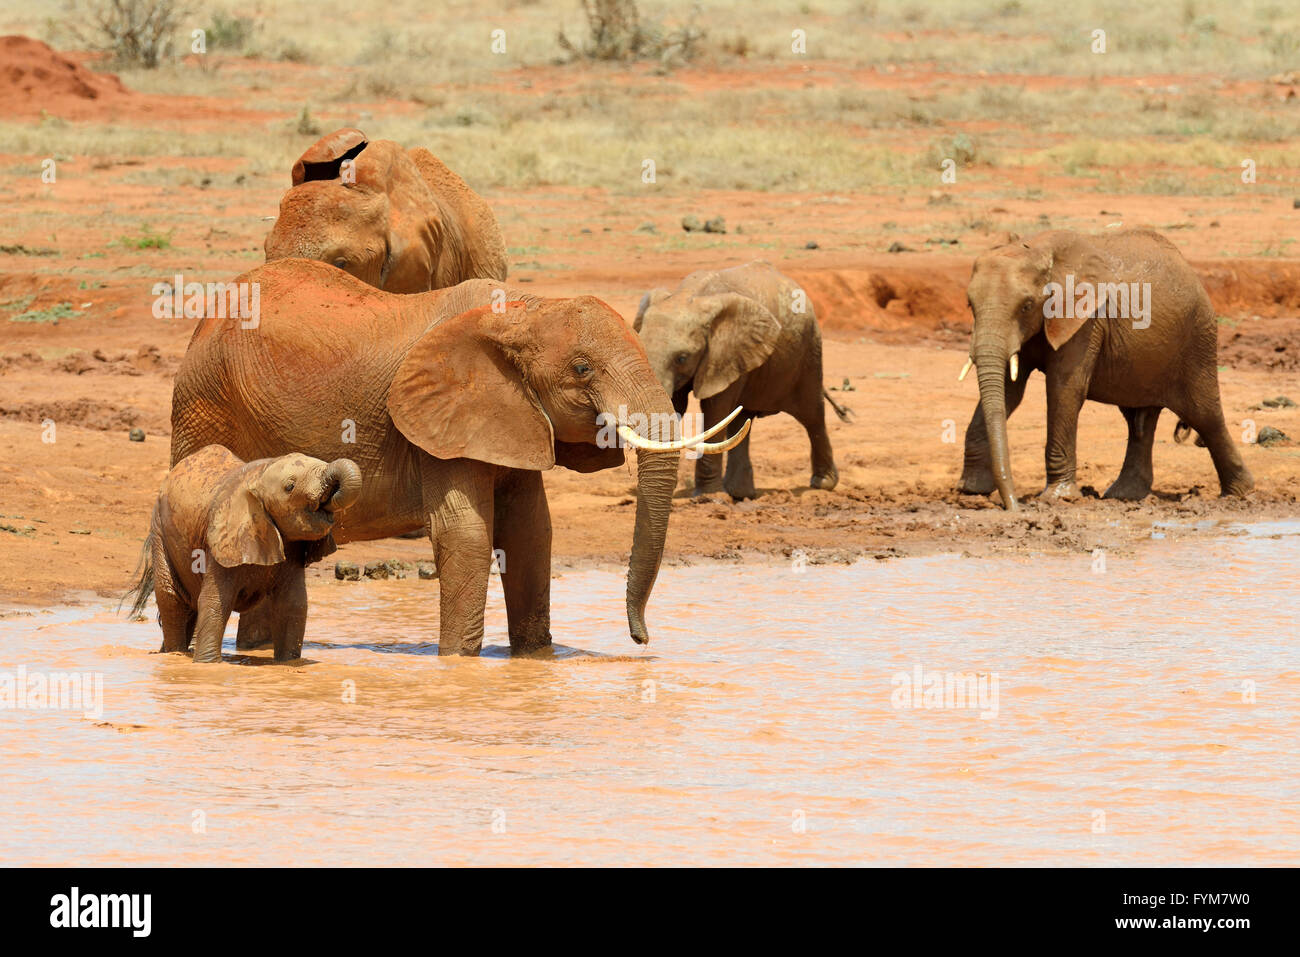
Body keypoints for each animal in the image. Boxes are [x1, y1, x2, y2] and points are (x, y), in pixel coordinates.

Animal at [125, 445, 363, 663]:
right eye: (290, 487)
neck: (260, 475)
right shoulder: (220, 542)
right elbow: (214, 601)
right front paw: (207, 665)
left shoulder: (293, 548)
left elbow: (293, 605)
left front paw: (289, 663)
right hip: (159, 531)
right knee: (171, 598)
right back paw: (175, 654)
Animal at [169, 260, 746, 656]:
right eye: (582, 369)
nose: (642, 639)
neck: (524, 311)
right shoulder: (439, 422)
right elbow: (466, 534)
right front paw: (459, 663)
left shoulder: (513, 417)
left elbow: (531, 532)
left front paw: (535, 660)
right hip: (204, 402)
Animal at [633, 261, 848, 500]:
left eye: (682, 358)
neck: (687, 296)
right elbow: (677, 406)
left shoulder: (724, 356)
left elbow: (715, 410)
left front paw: (707, 497)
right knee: (742, 420)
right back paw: (741, 494)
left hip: (808, 351)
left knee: (812, 415)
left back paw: (823, 484)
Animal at [957, 228, 1253, 510]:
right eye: (970, 305)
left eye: (1026, 306)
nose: (1013, 505)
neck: (1038, 249)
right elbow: (1009, 392)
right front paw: (971, 490)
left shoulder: (1086, 321)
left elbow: (1064, 389)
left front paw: (1058, 499)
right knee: (1139, 420)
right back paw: (1125, 496)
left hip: (1198, 339)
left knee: (1205, 415)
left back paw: (1239, 494)